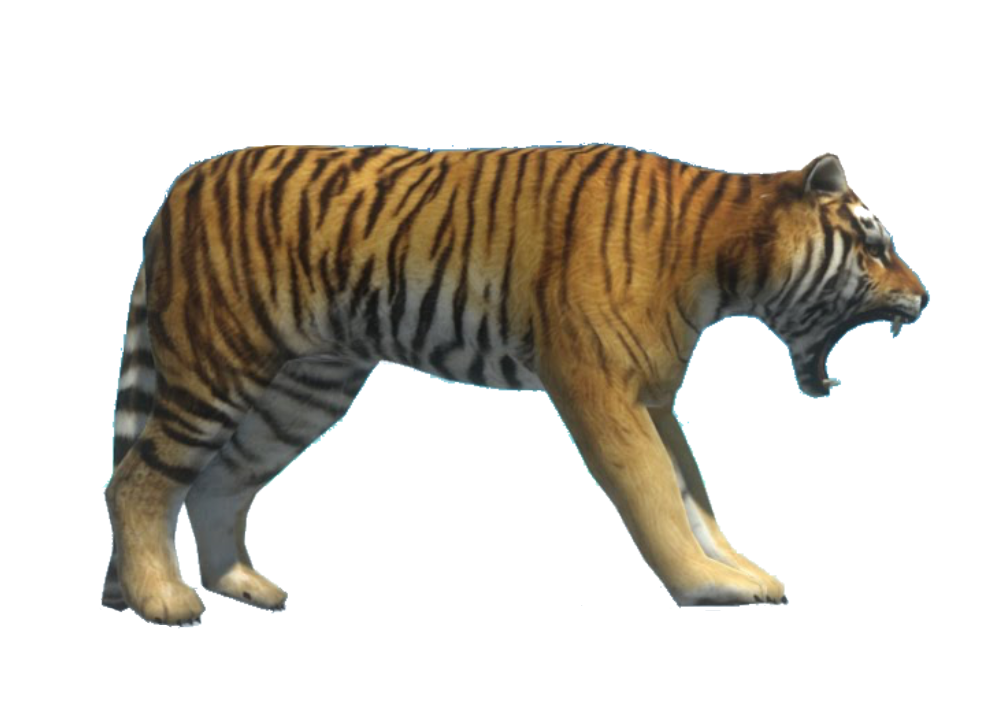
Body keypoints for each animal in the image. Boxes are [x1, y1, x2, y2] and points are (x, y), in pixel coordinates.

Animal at [104, 144, 928, 622]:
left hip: (303, 388)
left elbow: (696, 495)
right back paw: (165, 600)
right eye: (876, 242)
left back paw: (243, 585)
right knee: (138, 479)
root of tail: (180, 185)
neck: (717, 255)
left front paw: (743, 571)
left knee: (220, 481)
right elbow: (656, 492)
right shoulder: (600, 384)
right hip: (217, 362)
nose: (923, 296)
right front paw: (705, 585)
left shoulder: (653, 396)